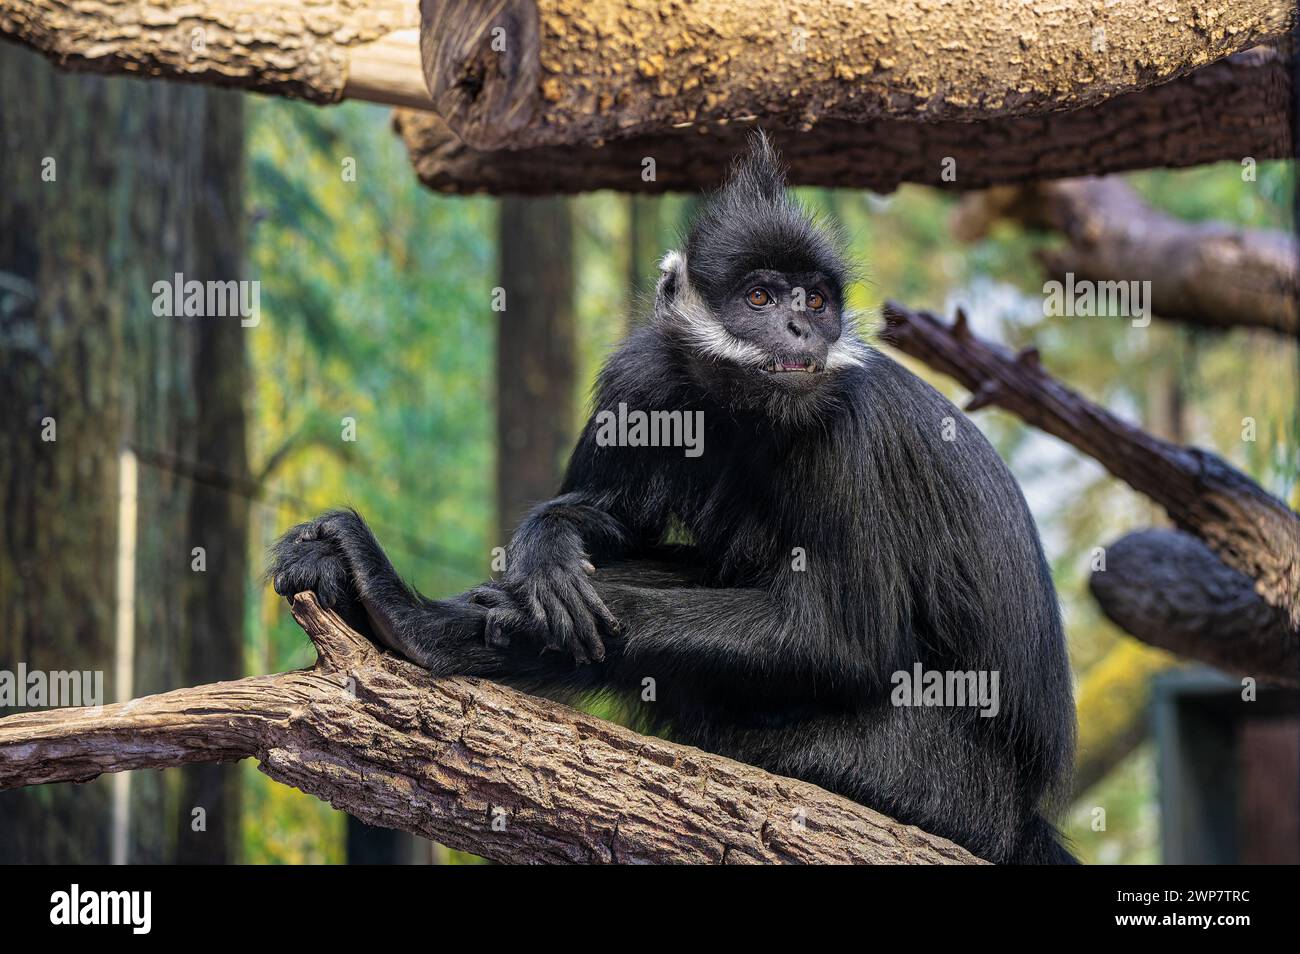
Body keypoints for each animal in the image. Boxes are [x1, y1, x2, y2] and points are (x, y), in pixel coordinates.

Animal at [269, 132, 1077, 864]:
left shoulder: (848, 428)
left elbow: (841, 641)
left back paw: (411, 622)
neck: (741, 406)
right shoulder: (642, 375)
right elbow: (617, 526)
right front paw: (545, 543)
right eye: (761, 296)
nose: (801, 326)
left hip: (925, 770)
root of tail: (1017, 812)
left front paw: (510, 614)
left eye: (815, 300)